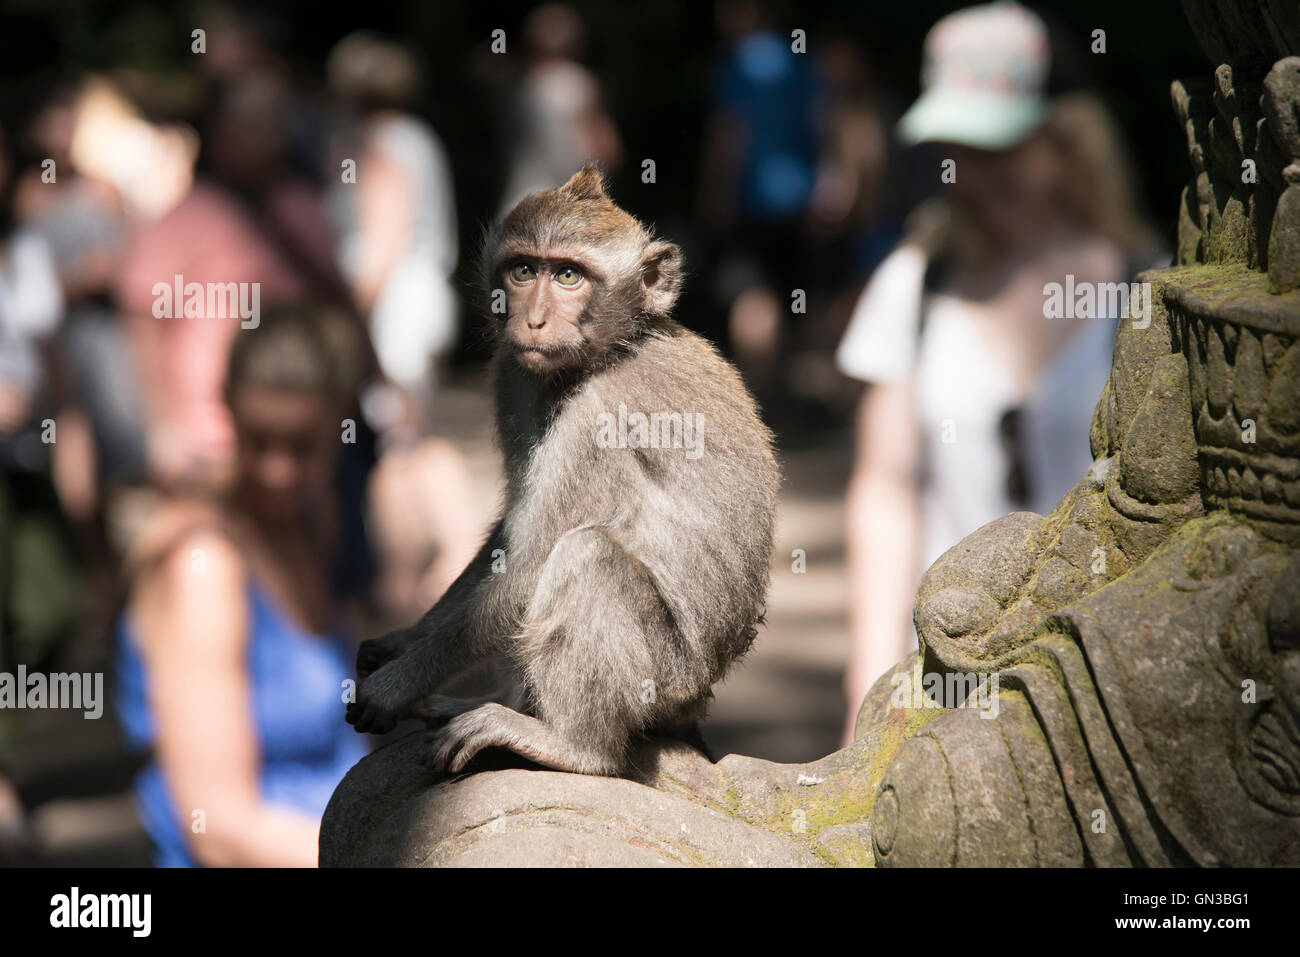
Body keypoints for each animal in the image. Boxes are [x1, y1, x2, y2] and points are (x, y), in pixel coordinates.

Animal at [345, 163, 780, 776]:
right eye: (525, 270)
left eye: (570, 276)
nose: (533, 320)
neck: (614, 350)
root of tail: (697, 702)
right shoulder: (512, 374)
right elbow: (510, 538)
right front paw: (405, 639)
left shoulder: (600, 418)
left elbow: (529, 566)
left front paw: (396, 684)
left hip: (667, 682)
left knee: (588, 555)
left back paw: (572, 745)